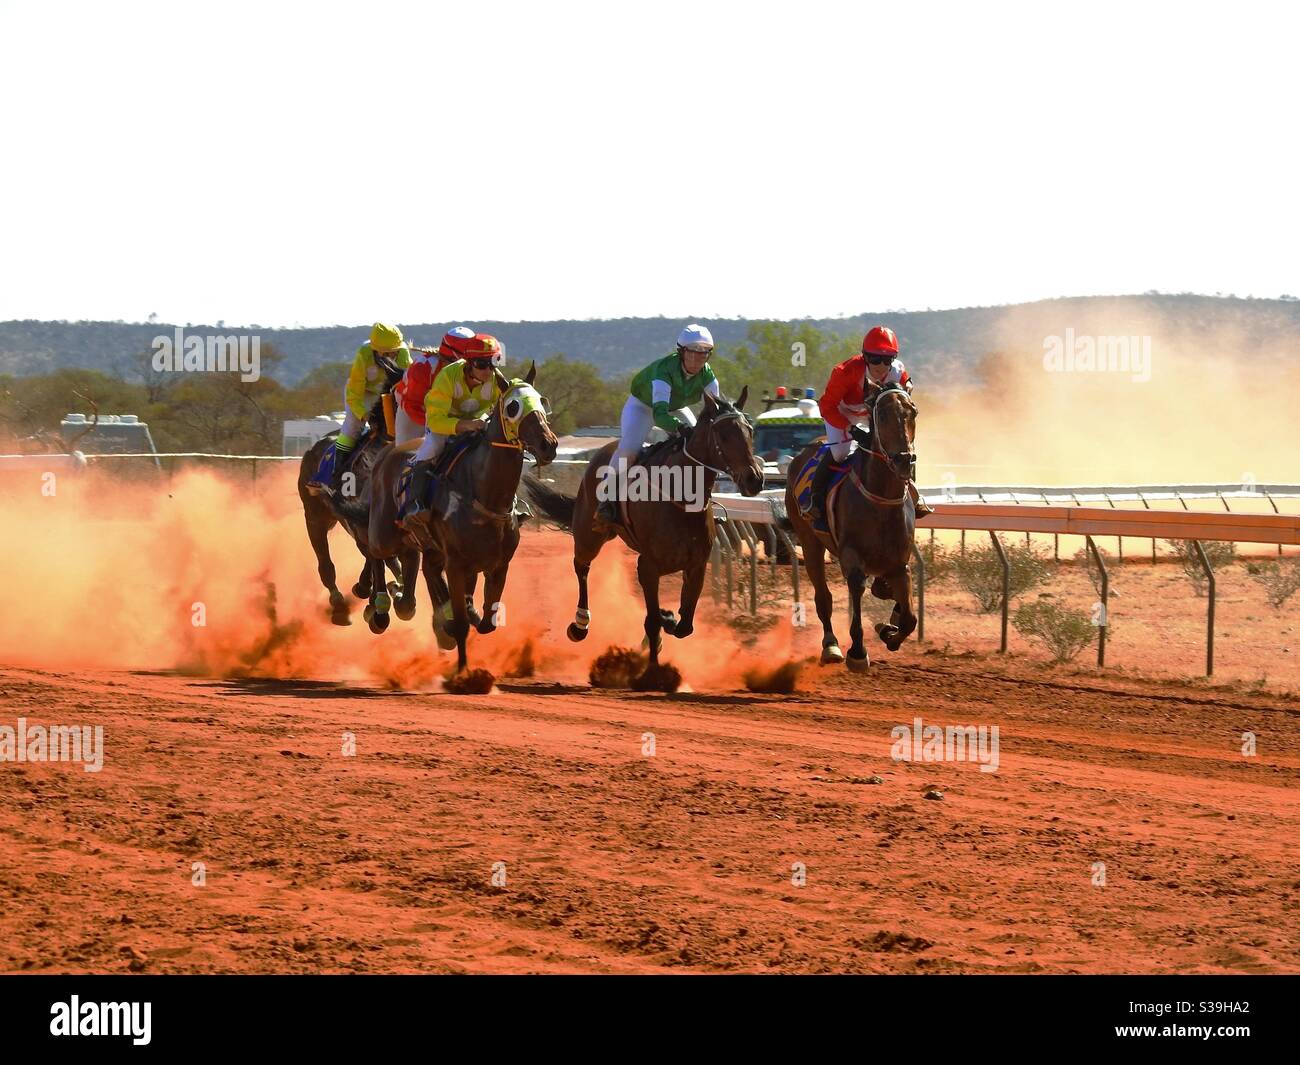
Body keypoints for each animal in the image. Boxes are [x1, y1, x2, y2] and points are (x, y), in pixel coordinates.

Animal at [327, 364, 558, 668]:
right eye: (513, 407)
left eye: (542, 401)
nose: (548, 444)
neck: (484, 497)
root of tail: (388, 452)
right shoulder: (457, 564)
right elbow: (461, 621)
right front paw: (462, 669)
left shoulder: (497, 565)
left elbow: (486, 621)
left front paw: (455, 622)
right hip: (384, 532)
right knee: (375, 552)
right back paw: (379, 608)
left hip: (428, 546)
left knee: (421, 567)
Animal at [524, 390, 764, 688]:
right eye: (723, 434)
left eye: (750, 431)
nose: (754, 480)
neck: (681, 497)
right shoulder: (648, 567)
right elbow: (652, 620)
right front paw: (653, 673)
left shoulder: (696, 566)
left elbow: (685, 624)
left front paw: (667, 620)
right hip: (589, 533)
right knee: (581, 567)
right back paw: (580, 623)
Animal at [784, 383, 919, 671]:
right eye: (882, 416)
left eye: (912, 412)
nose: (905, 459)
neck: (880, 500)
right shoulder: (851, 556)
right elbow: (856, 587)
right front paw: (857, 652)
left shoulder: (899, 564)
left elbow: (909, 618)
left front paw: (888, 631)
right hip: (809, 541)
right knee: (823, 598)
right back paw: (831, 646)